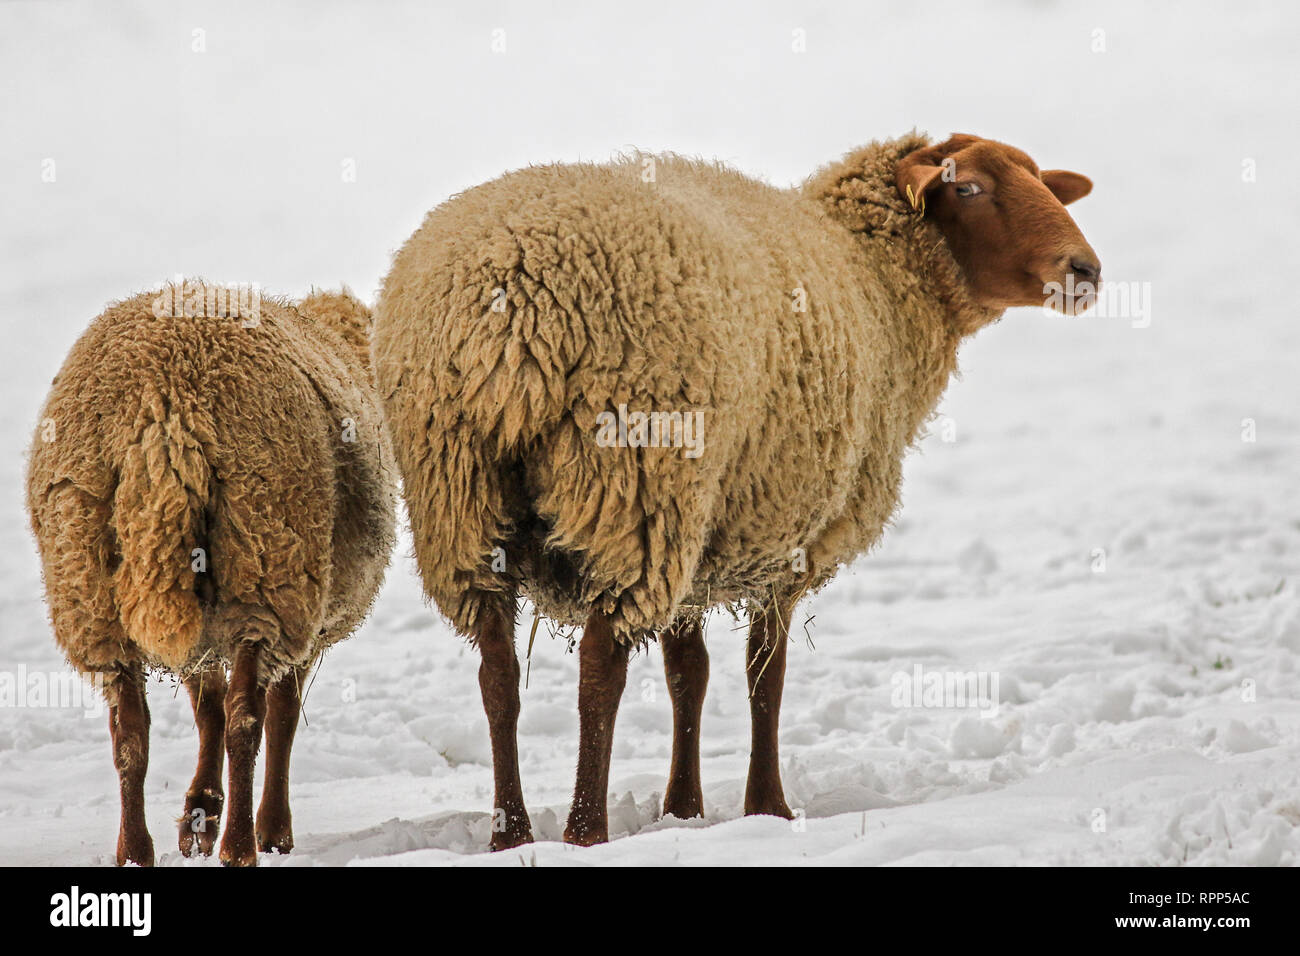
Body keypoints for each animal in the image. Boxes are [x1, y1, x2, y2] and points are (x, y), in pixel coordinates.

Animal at [26, 280, 397, 866]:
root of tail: (164, 409)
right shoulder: (301, 621)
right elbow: (276, 715)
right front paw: (270, 830)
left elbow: (207, 710)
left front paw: (200, 813)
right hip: (264, 565)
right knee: (248, 719)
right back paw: (241, 845)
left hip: (87, 582)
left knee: (130, 731)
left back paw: (136, 849)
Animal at [372, 132, 1099, 848]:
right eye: (968, 186)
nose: (1085, 270)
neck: (874, 280)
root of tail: (508, 303)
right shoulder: (791, 534)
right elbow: (764, 676)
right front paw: (767, 808)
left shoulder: (707, 533)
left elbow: (687, 674)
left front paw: (683, 810)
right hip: (634, 479)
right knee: (599, 670)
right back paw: (584, 829)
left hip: (463, 497)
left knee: (496, 670)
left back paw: (513, 833)